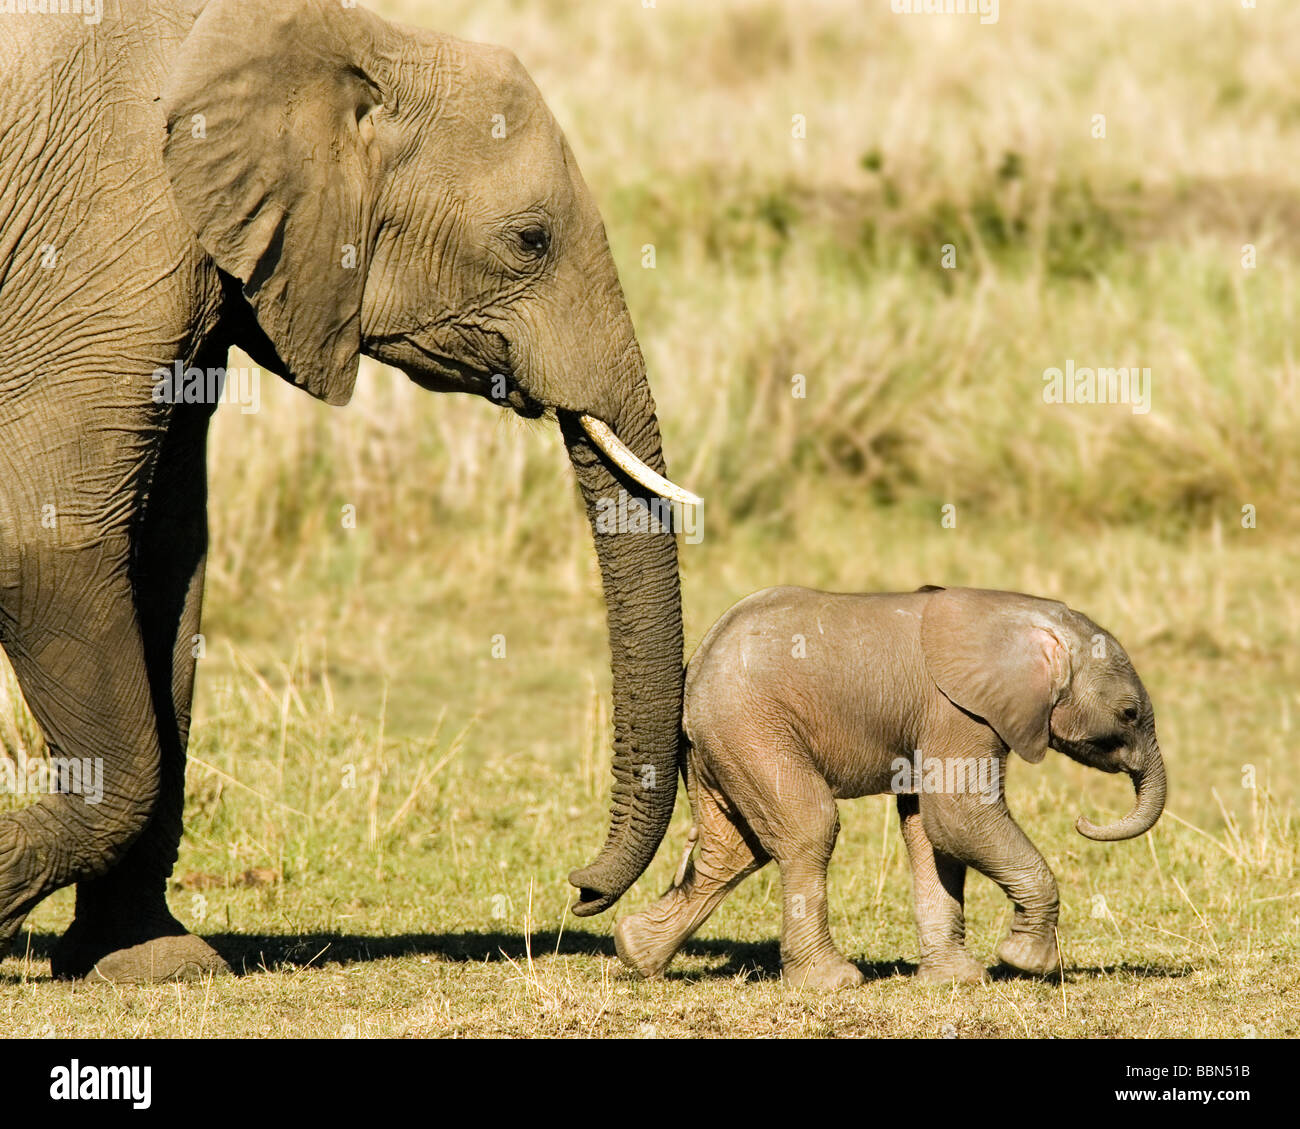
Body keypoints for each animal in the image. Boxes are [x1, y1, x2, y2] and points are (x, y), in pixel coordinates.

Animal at [0, 0, 696, 981]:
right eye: (530, 241)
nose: (582, 890)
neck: (355, 36)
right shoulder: (105, 236)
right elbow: (48, 536)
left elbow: (166, 557)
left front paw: (150, 963)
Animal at [614, 585, 1167, 990]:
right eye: (1128, 714)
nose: (1083, 820)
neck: (1022, 615)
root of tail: (696, 670)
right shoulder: (957, 712)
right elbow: (959, 819)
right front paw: (1025, 962)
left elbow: (931, 832)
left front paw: (957, 981)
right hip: (751, 726)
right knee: (809, 828)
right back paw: (833, 982)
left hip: (723, 744)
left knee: (731, 849)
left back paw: (636, 953)